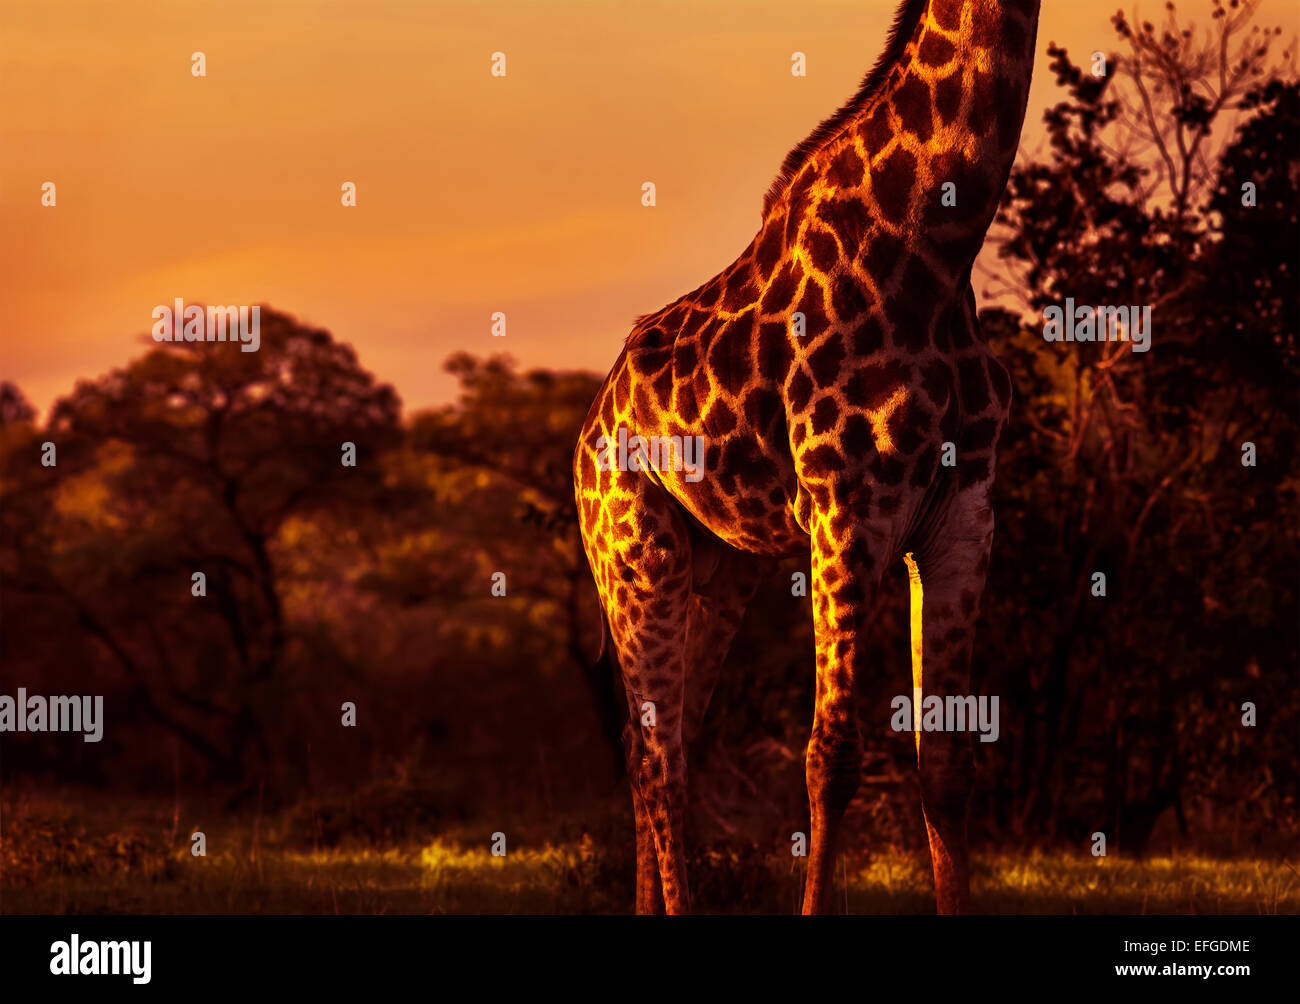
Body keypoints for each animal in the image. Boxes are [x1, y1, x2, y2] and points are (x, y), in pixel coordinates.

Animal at [573, 0, 1039, 914]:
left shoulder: (965, 513)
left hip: (721, 569)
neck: (936, 243)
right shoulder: (847, 508)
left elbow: (948, 762)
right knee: (659, 761)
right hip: (633, 555)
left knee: (664, 748)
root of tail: (589, 430)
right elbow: (832, 756)